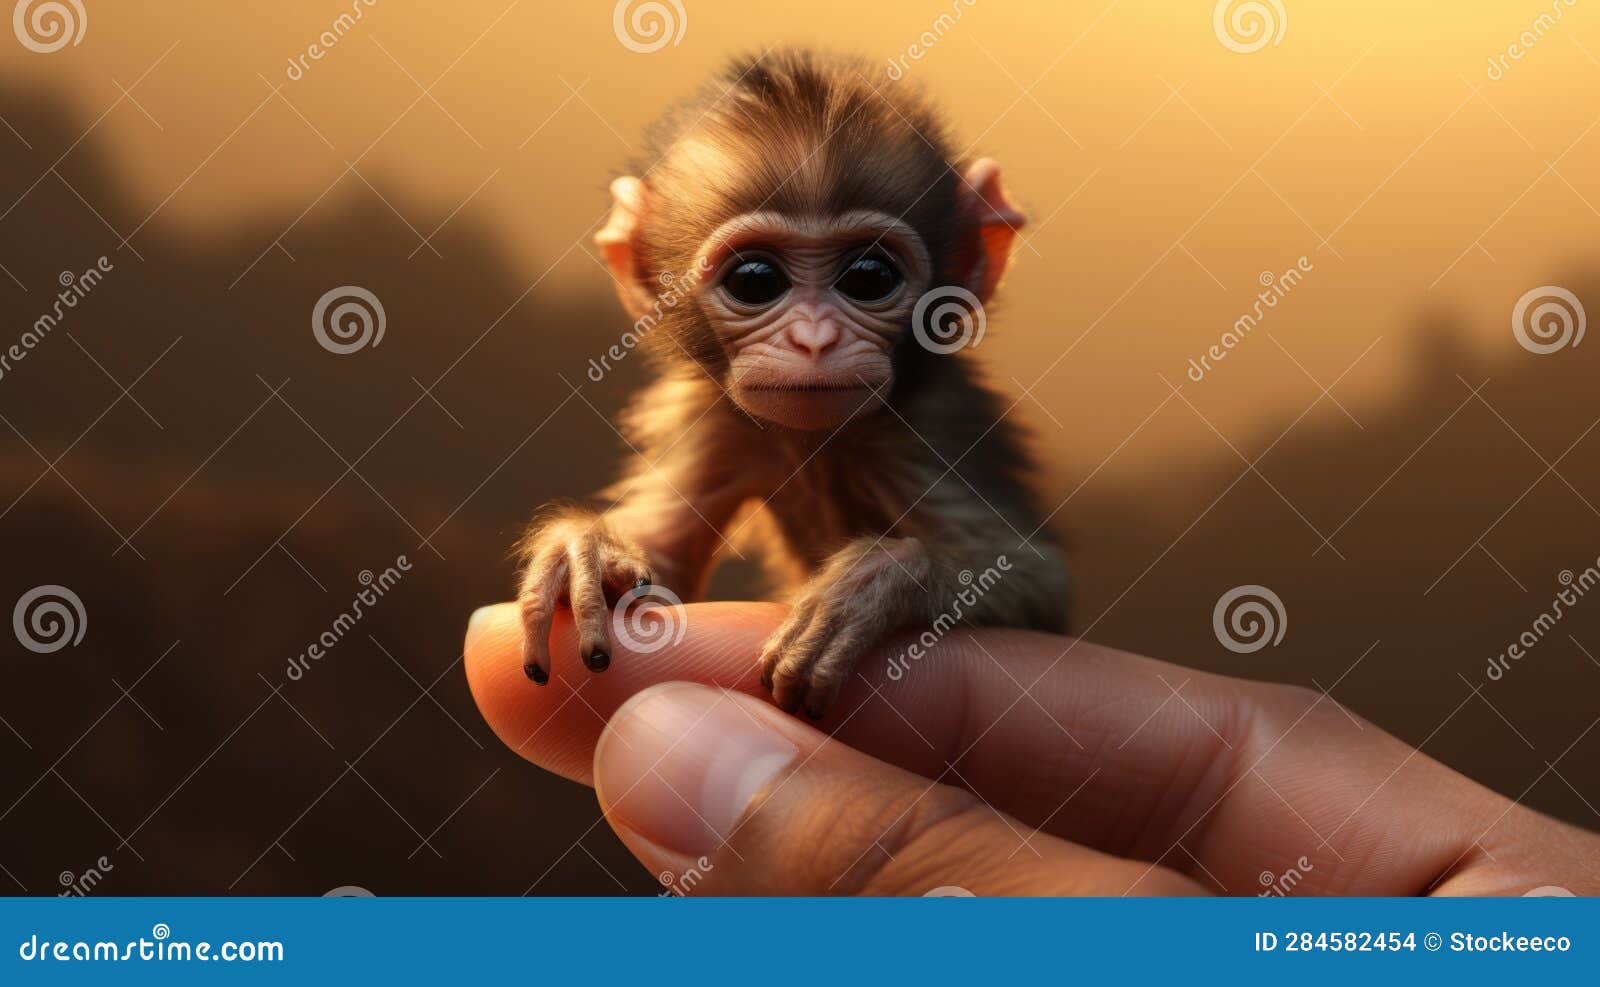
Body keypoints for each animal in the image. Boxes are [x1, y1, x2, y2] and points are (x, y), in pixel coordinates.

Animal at [516, 48, 1071, 718]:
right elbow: (665, 560)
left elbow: (1039, 579)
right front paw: (588, 551)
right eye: (755, 280)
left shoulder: (927, 427)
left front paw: (873, 583)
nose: (813, 340)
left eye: (869, 276)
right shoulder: (713, 421)